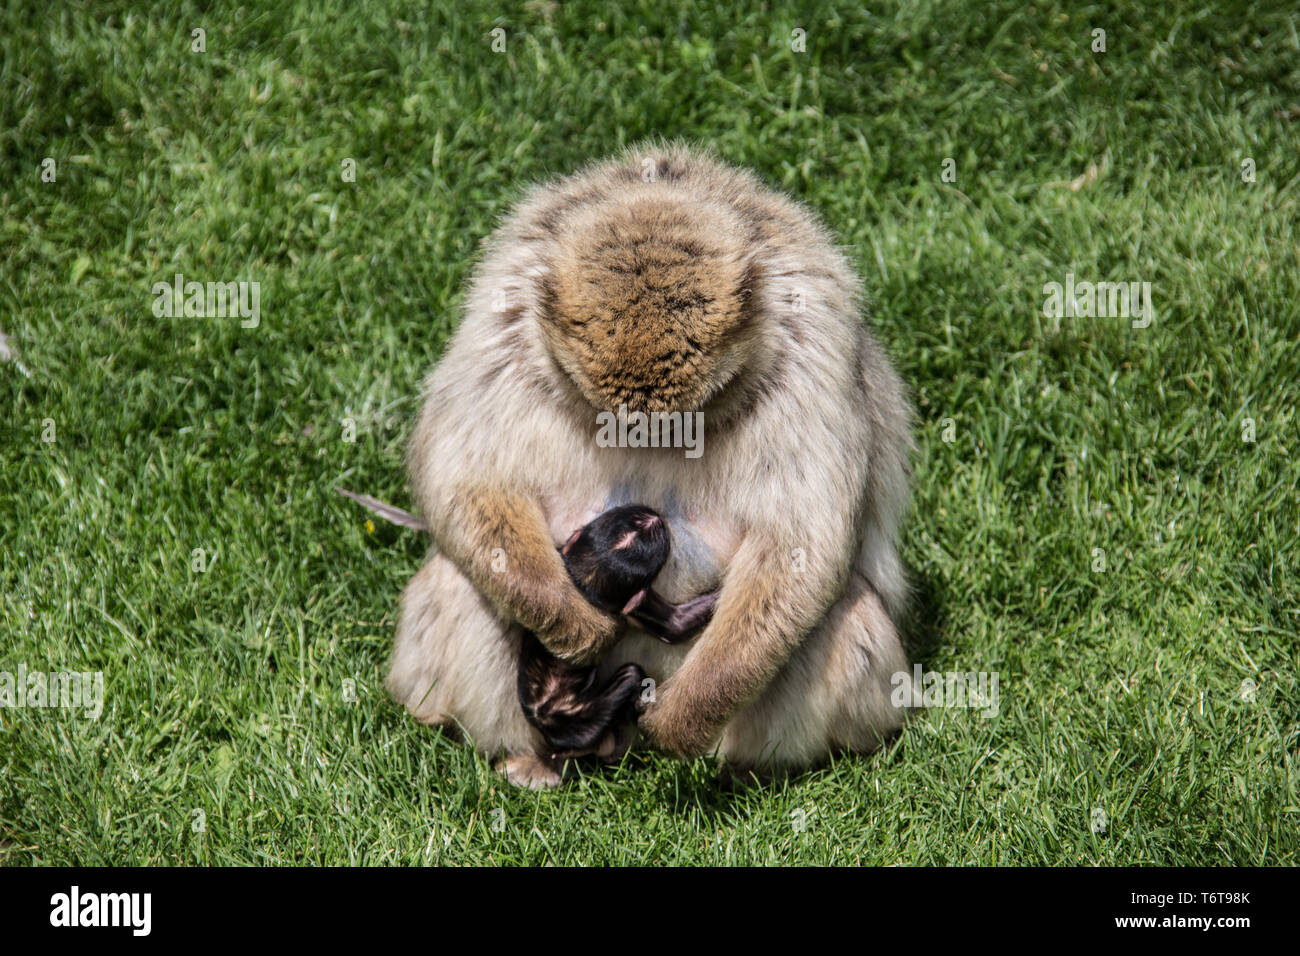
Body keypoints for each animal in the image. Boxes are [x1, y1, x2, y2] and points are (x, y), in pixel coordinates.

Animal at [386, 141, 917, 789]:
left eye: (694, 408)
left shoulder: (810, 346)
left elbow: (801, 545)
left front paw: (687, 715)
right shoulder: (502, 319)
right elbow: (463, 478)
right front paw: (574, 621)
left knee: (848, 612)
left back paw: (744, 771)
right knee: (458, 578)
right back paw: (532, 756)